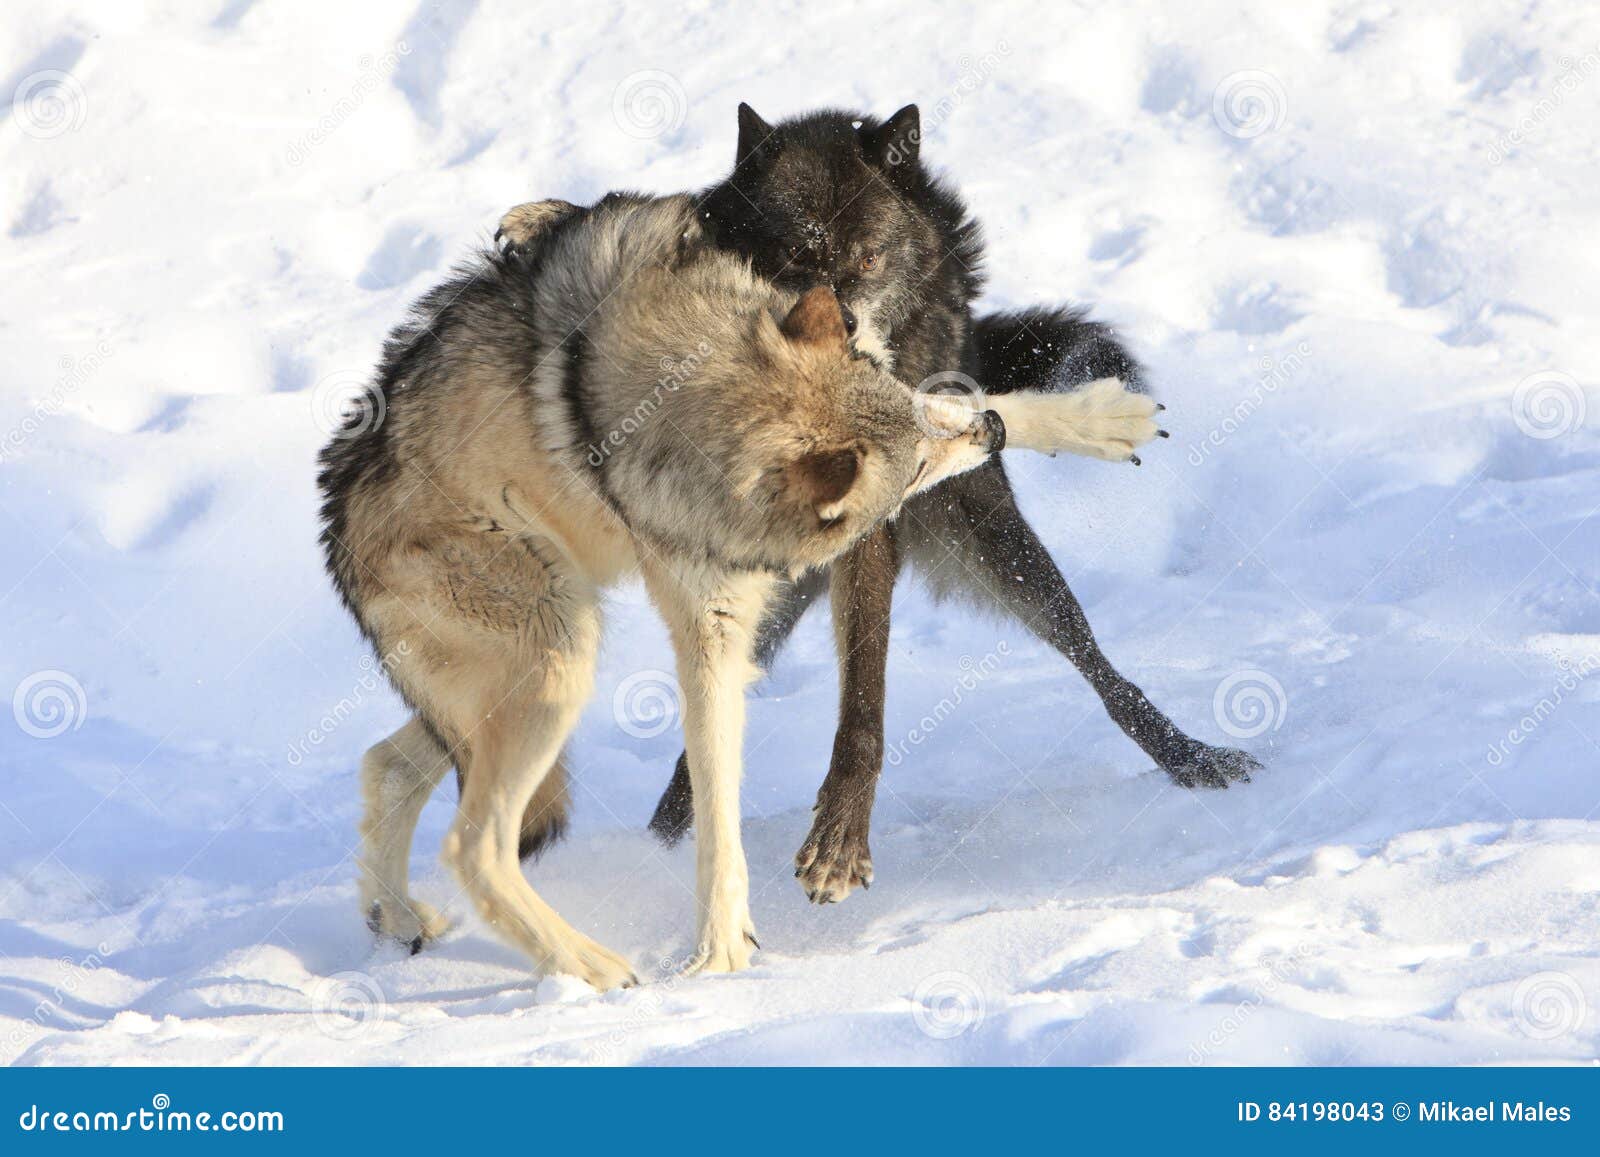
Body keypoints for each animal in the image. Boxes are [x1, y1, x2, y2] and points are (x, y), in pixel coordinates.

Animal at [321, 192, 1160, 986]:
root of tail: (338, 534)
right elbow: (717, 809)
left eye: (905, 406)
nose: (989, 434)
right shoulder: (712, 636)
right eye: (914, 467)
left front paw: (1099, 416)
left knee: (384, 764)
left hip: (518, 677)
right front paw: (721, 954)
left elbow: (991, 393)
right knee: (474, 846)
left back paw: (396, 916)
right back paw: (589, 966)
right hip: (559, 664)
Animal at [629, 104, 1262, 904]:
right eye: (794, 256)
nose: (840, 331)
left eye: (869, 259)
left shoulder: (874, 538)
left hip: (1008, 554)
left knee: (1098, 663)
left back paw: (1191, 757)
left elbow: (864, 713)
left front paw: (838, 841)